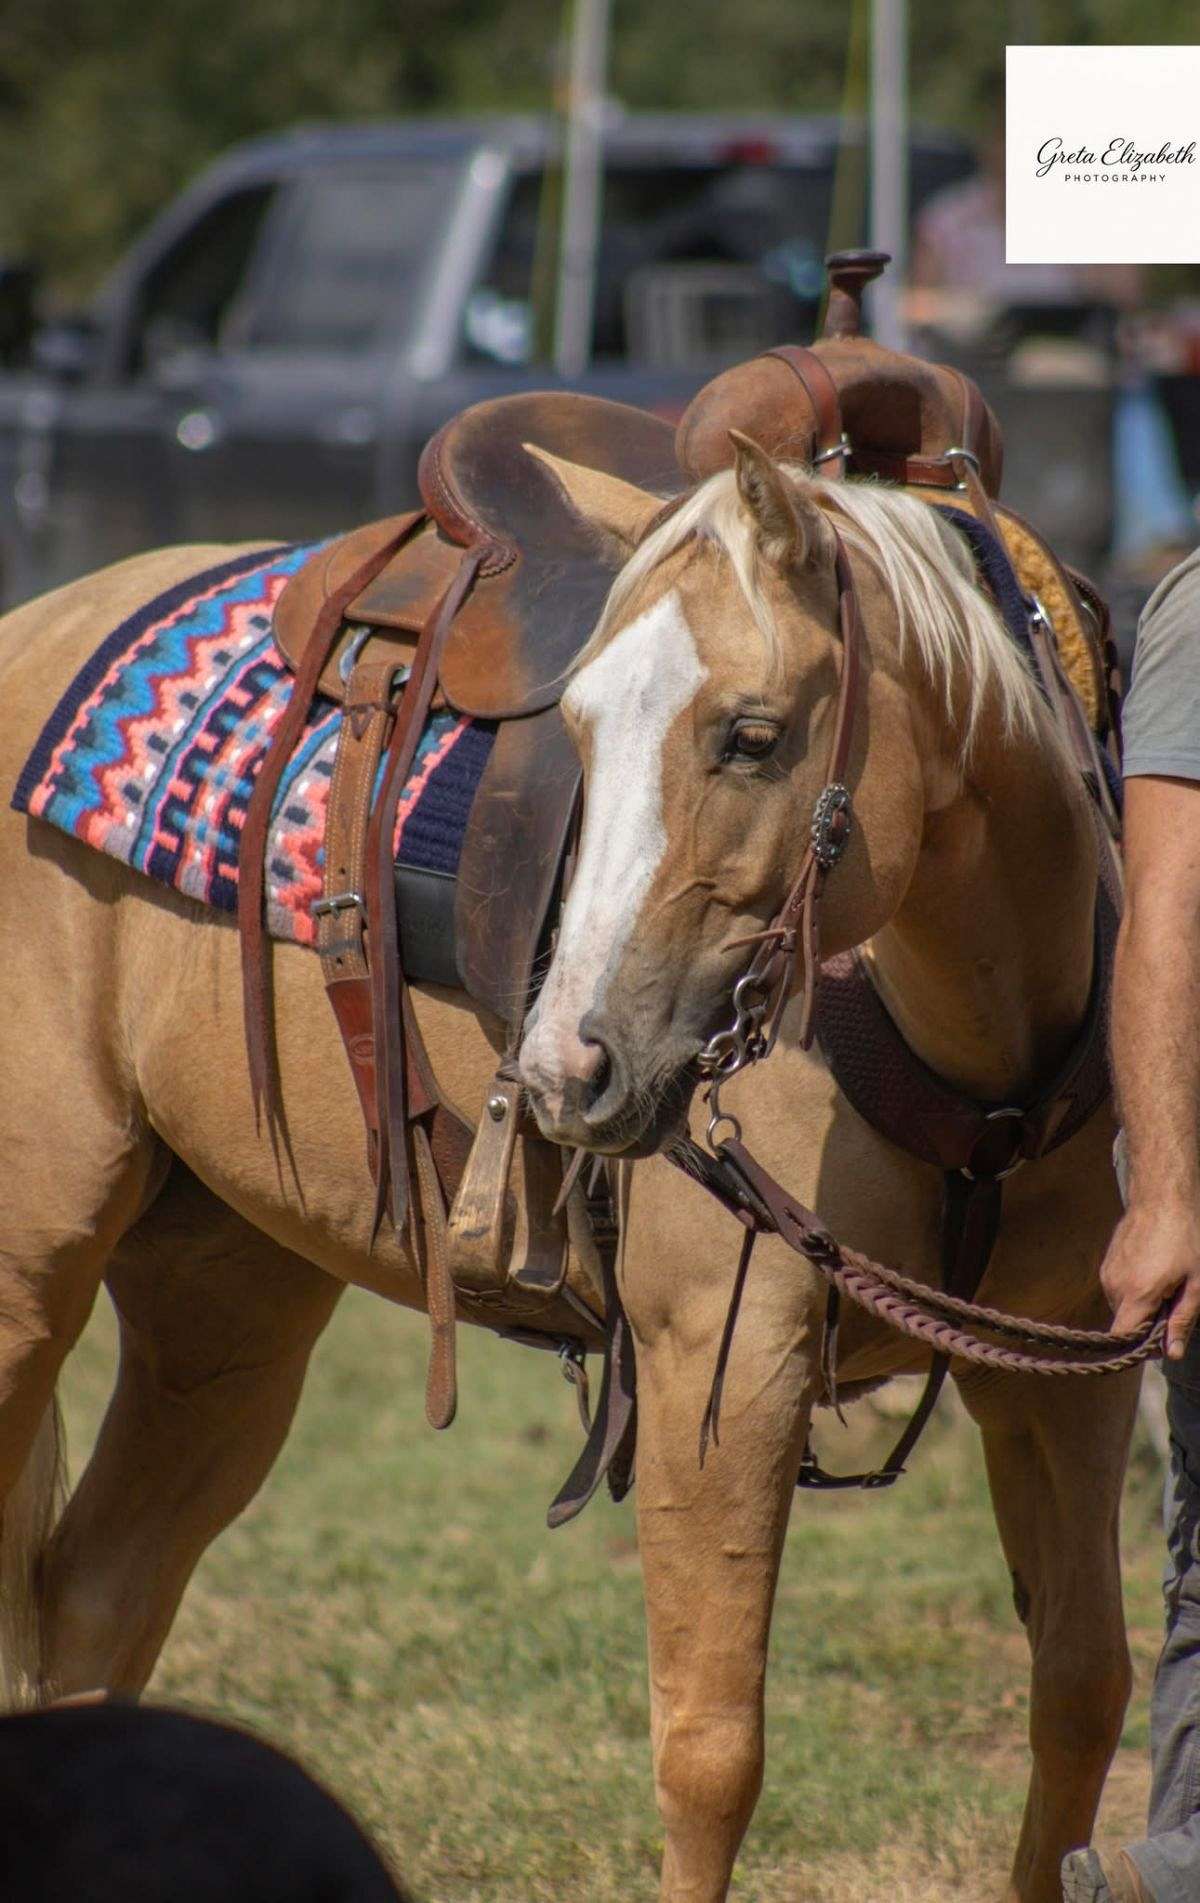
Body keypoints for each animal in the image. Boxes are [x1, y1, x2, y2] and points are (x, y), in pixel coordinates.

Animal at [0, 435, 1135, 1903]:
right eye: (581, 735)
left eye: (753, 734)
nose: (562, 1071)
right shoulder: (725, 1355)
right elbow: (711, 1751)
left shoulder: (1066, 1367)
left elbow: (1082, 1689)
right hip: (33, 1275)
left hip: (226, 1304)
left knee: (101, 1592)